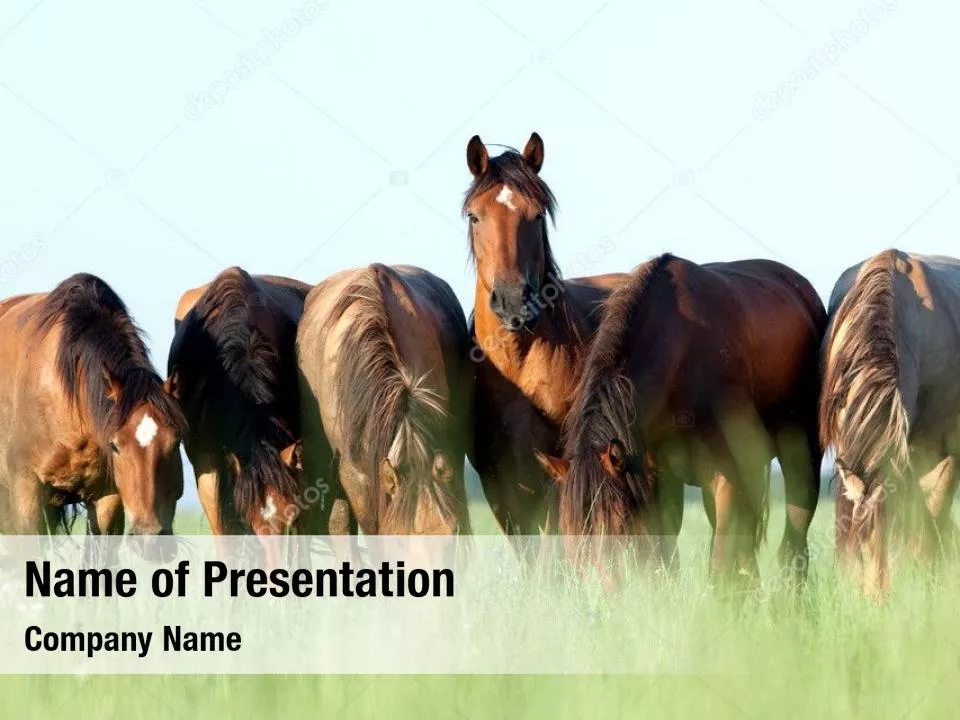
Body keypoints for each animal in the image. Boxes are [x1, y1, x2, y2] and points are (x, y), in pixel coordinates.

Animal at [536, 254, 826, 587]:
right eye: (570, 531)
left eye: (618, 524)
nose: (603, 595)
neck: (680, 355)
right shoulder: (656, 478)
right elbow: (666, 555)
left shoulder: (726, 477)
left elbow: (720, 561)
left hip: (800, 457)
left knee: (794, 537)